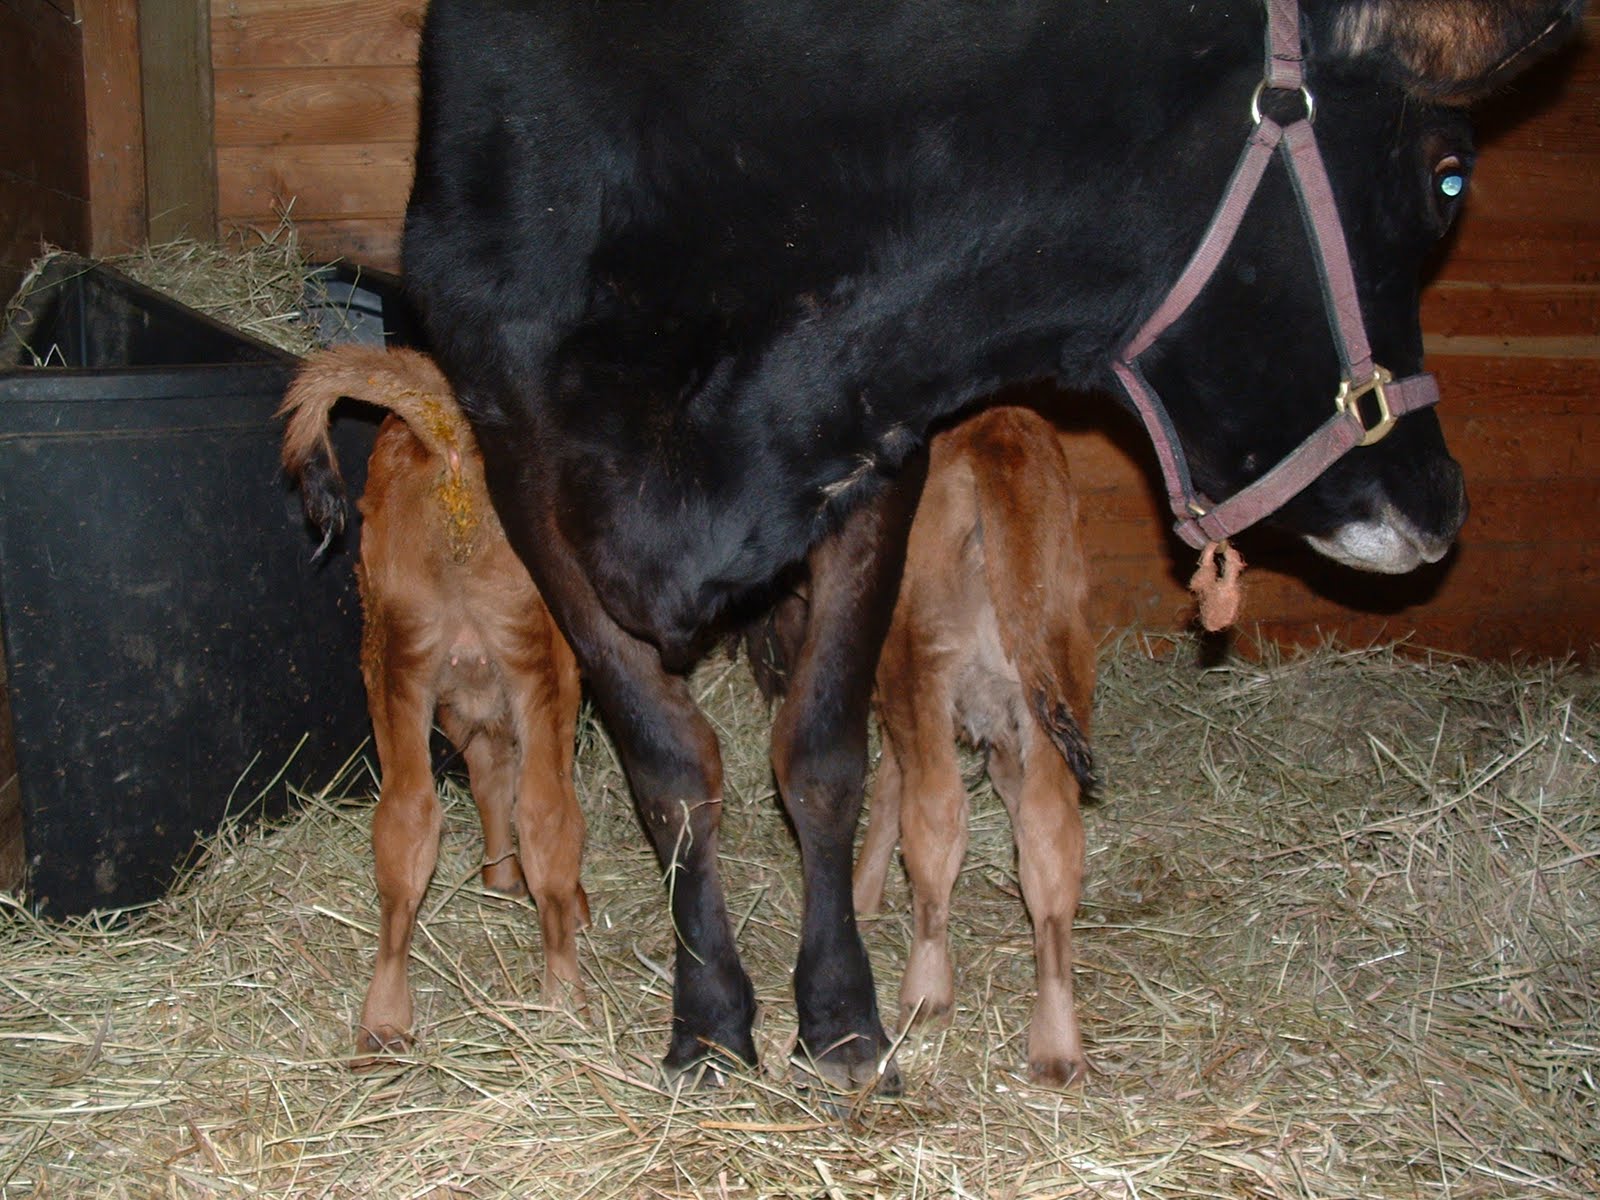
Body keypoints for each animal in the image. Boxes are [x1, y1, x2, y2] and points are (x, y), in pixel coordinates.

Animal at [279, 346, 589, 1062]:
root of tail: (447, 440)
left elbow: (487, 778)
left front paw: (499, 878)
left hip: (399, 661)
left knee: (408, 821)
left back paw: (384, 1021)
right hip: (532, 657)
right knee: (547, 815)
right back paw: (566, 1000)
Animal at [751, 404, 1098, 1084]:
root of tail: (1000, 435)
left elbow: (887, 793)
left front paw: (860, 894)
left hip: (923, 663)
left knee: (937, 818)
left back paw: (926, 990)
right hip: (1059, 670)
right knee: (1050, 839)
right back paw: (1055, 1043)